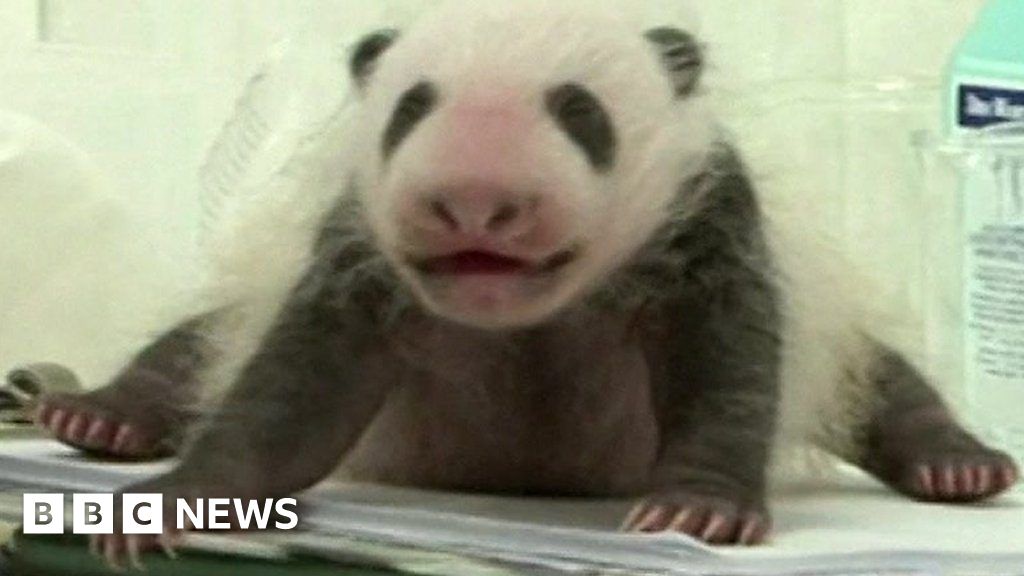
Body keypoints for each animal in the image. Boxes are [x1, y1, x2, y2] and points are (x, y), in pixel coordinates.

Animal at [32, 0, 1018, 565]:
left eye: (580, 112)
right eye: (410, 108)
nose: (473, 201)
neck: (520, 313)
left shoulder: (701, 213)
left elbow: (725, 361)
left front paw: (697, 514)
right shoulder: (360, 246)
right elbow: (293, 385)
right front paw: (173, 505)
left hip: (832, 345)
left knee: (880, 380)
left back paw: (959, 465)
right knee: (199, 344)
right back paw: (97, 416)